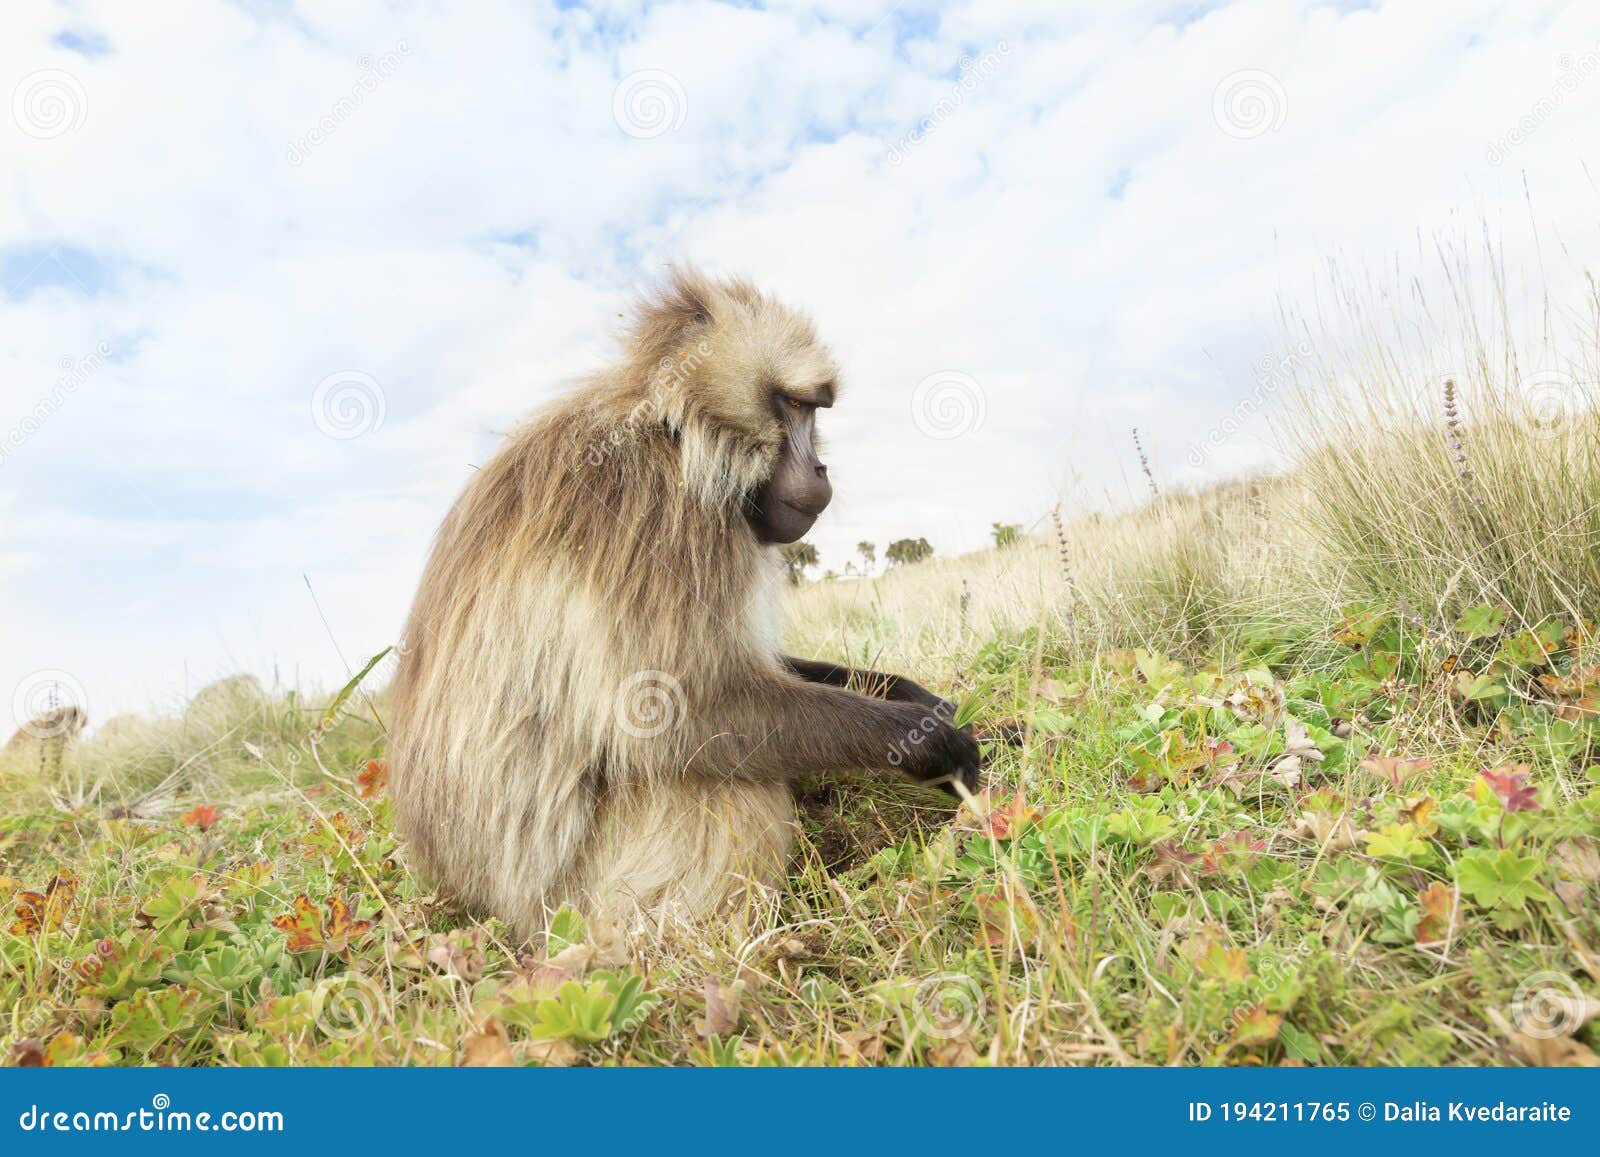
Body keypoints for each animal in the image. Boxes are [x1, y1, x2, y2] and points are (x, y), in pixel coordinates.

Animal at [388, 268, 982, 940]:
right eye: (796, 406)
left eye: (815, 411)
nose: (822, 468)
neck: (672, 436)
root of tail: (480, 902)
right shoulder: (658, 512)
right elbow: (677, 711)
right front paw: (934, 747)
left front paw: (930, 705)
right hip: (581, 895)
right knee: (723, 779)